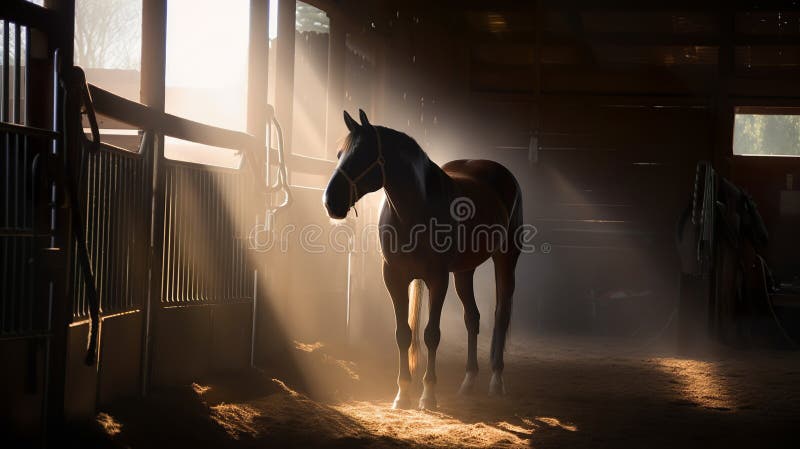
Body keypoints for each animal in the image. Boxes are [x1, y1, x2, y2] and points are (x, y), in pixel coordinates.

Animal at [323, 109, 522, 409]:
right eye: (339, 154)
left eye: (363, 154)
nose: (330, 201)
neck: (415, 209)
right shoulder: (393, 277)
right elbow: (403, 334)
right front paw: (403, 394)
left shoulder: (437, 279)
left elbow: (431, 334)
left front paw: (428, 394)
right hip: (464, 271)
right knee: (472, 318)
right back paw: (468, 381)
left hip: (505, 259)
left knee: (500, 313)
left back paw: (496, 381)